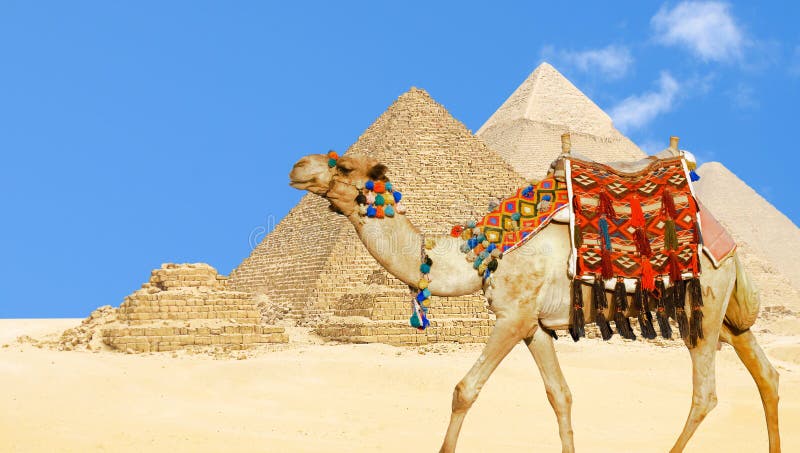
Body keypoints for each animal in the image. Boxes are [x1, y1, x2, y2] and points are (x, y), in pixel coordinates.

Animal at [288, 150, 781, 453]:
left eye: (343, 166)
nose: (297, 167)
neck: (478, 255)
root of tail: (728, 242)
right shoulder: (535, 328)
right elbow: (560, 395)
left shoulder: (512, 316)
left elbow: (464, 390)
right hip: (727, 317)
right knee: (767, 376)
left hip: (703, 308)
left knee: (705, 395)